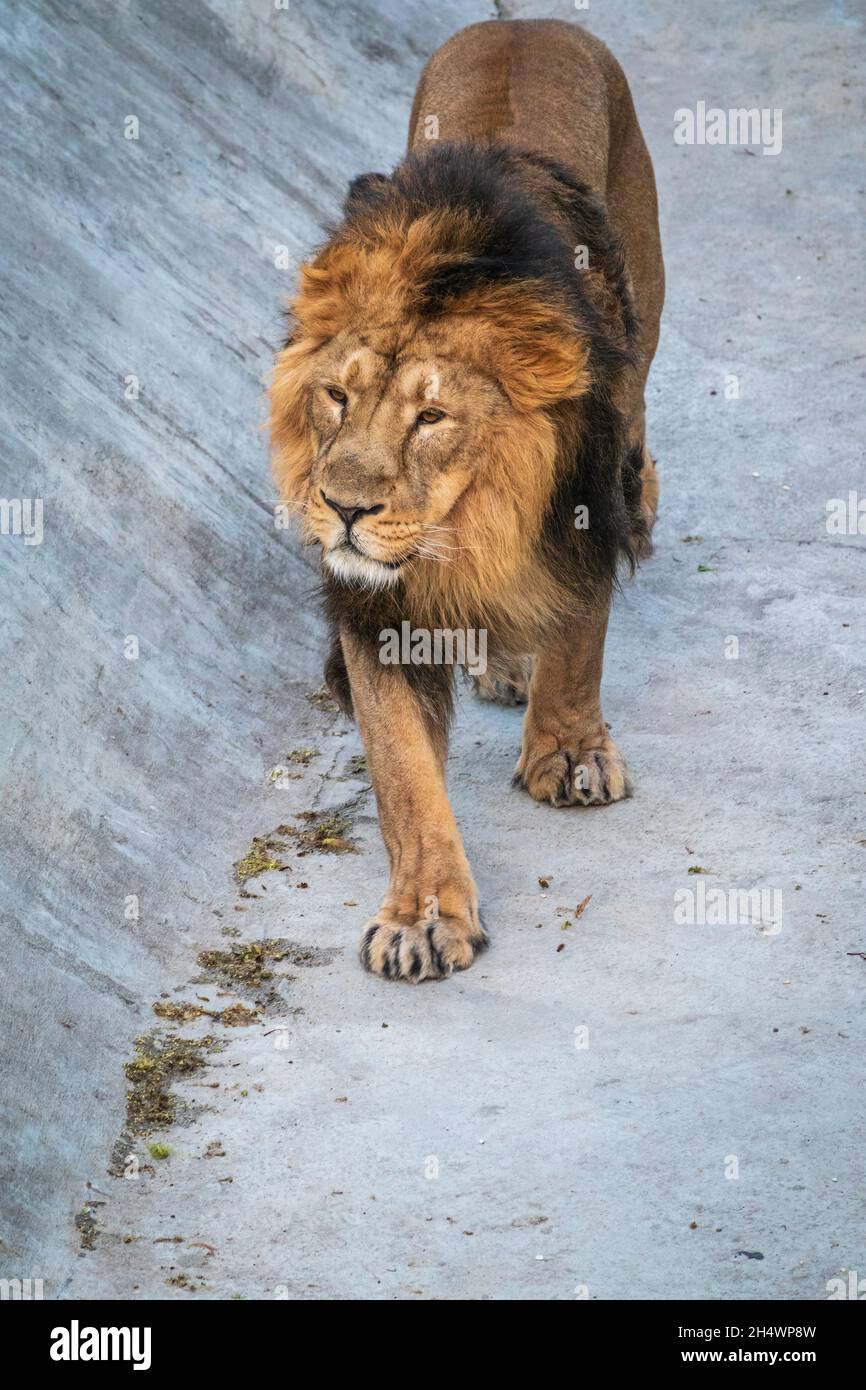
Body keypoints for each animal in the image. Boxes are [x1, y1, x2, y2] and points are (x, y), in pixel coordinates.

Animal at [268, 19, 664, 982]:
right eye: (337, 396)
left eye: (431, 415)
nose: (342, 509)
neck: (468, 517)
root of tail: (524, 20)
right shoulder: (373, 605)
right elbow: (404, 772)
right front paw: (420, 914)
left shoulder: (584, 503)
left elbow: (583, 629)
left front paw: (570, 751)